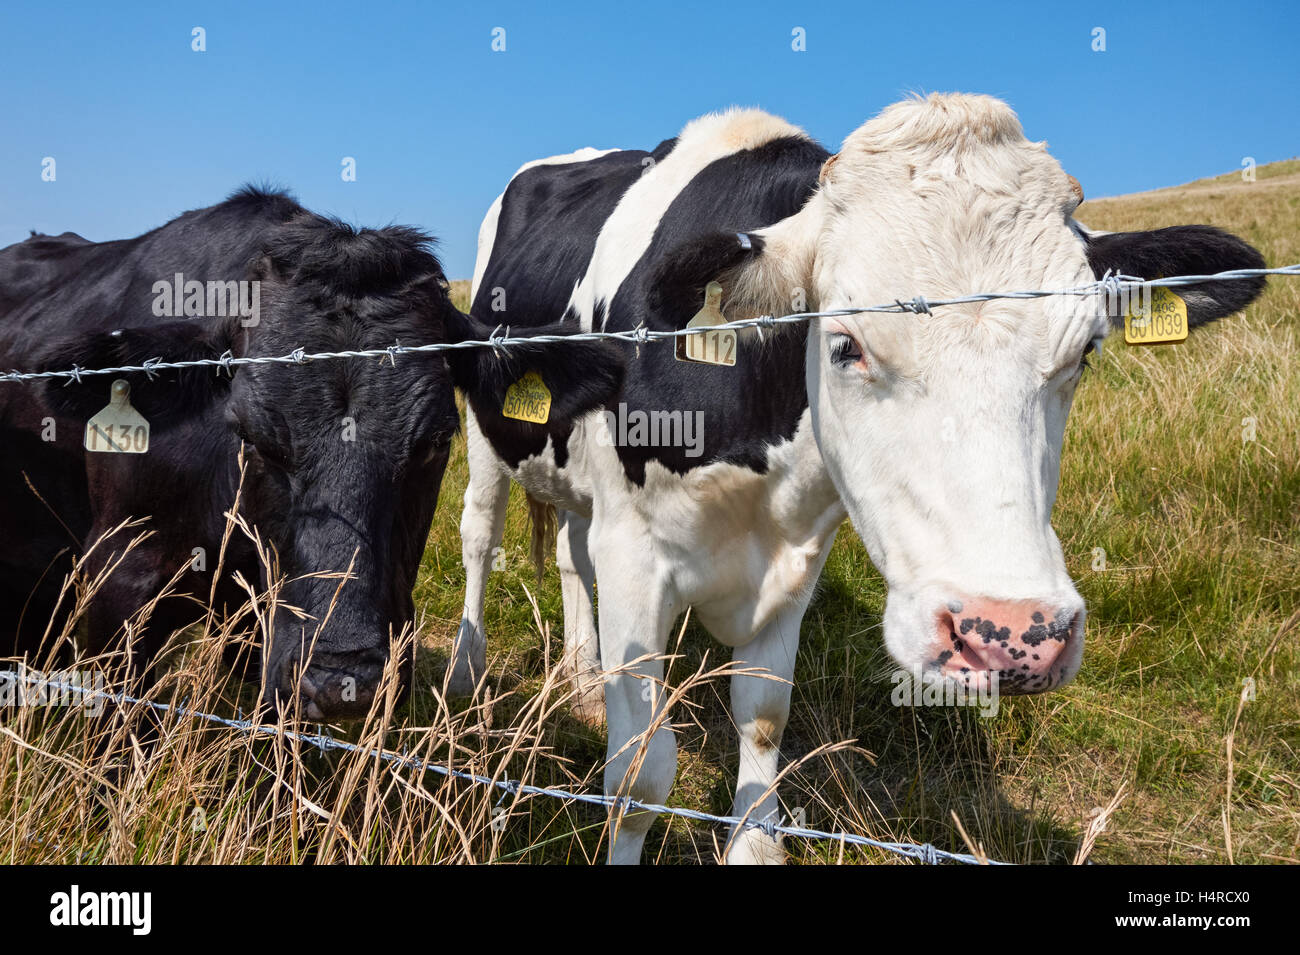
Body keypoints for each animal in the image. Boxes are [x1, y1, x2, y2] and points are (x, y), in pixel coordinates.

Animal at [451, 94, 1267, 864]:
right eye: (846, 343)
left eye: (1087, 350)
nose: (1013, 636)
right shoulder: (635, 554)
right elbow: (639, 781)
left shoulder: (795, 560)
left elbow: (763, 717)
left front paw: (754, 839)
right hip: (488, 425)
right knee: (479, 536)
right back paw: (466, 675)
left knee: (569, 550)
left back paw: (582, 675)